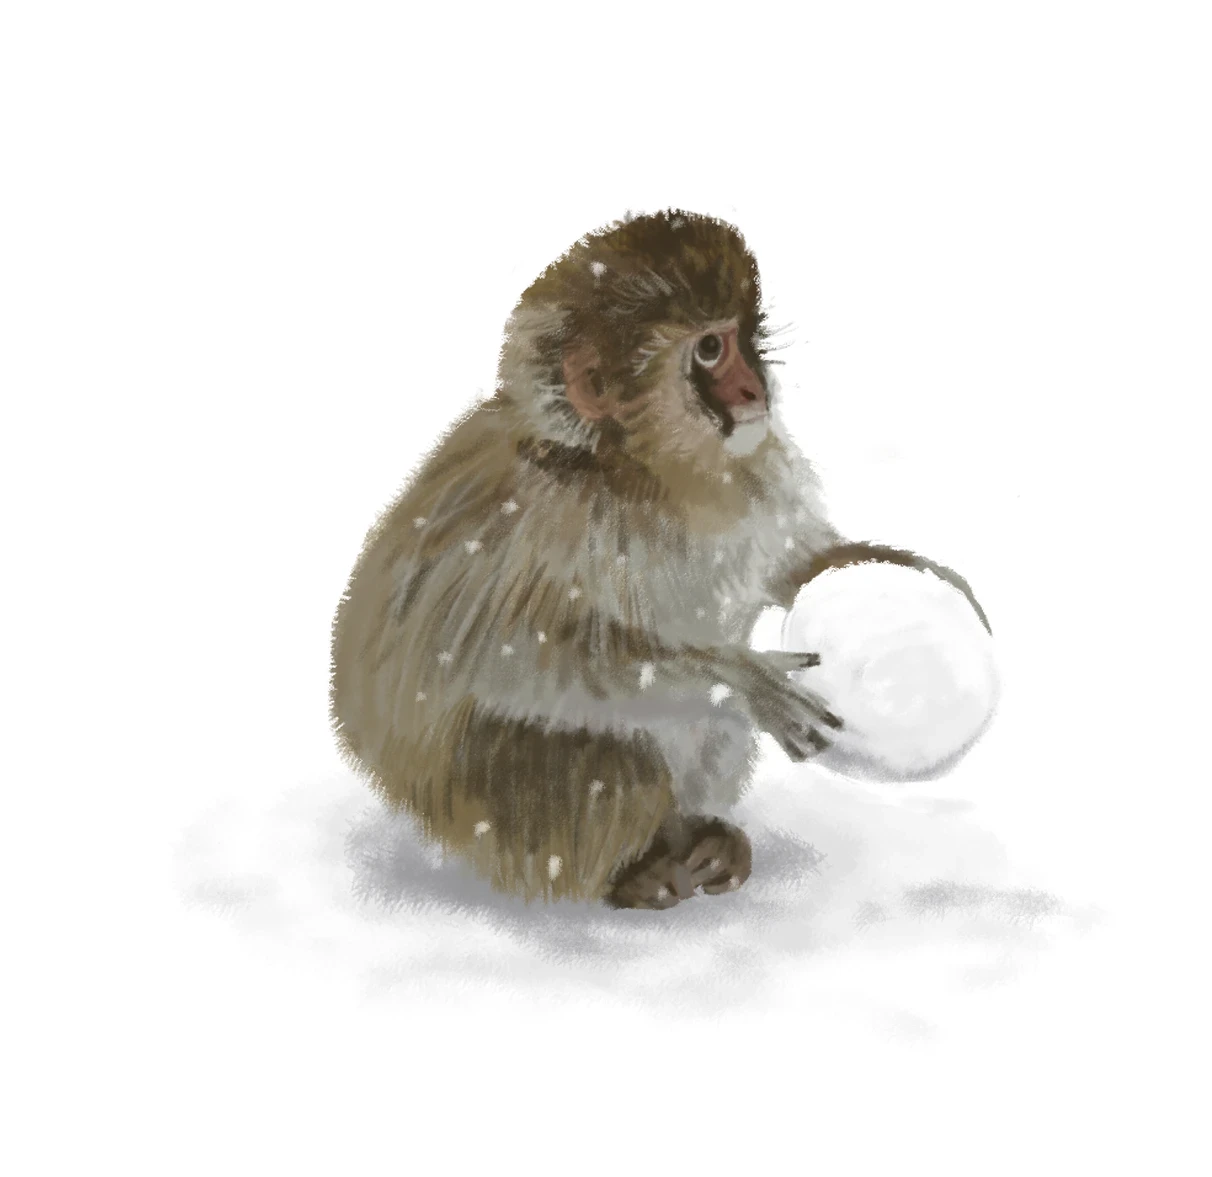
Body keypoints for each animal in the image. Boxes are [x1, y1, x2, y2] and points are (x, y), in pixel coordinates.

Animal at [330, 209, 987, 910]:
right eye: (709, 350)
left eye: (740, 337)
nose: (756, 389)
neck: (648, 474)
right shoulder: (540, 521)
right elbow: (512, 660)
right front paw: (737, 677)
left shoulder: (760, 475)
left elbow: (789, 566)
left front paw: (887, 566)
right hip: (482, 816)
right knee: (598, 759)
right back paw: (633, 870)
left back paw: (703, 836)